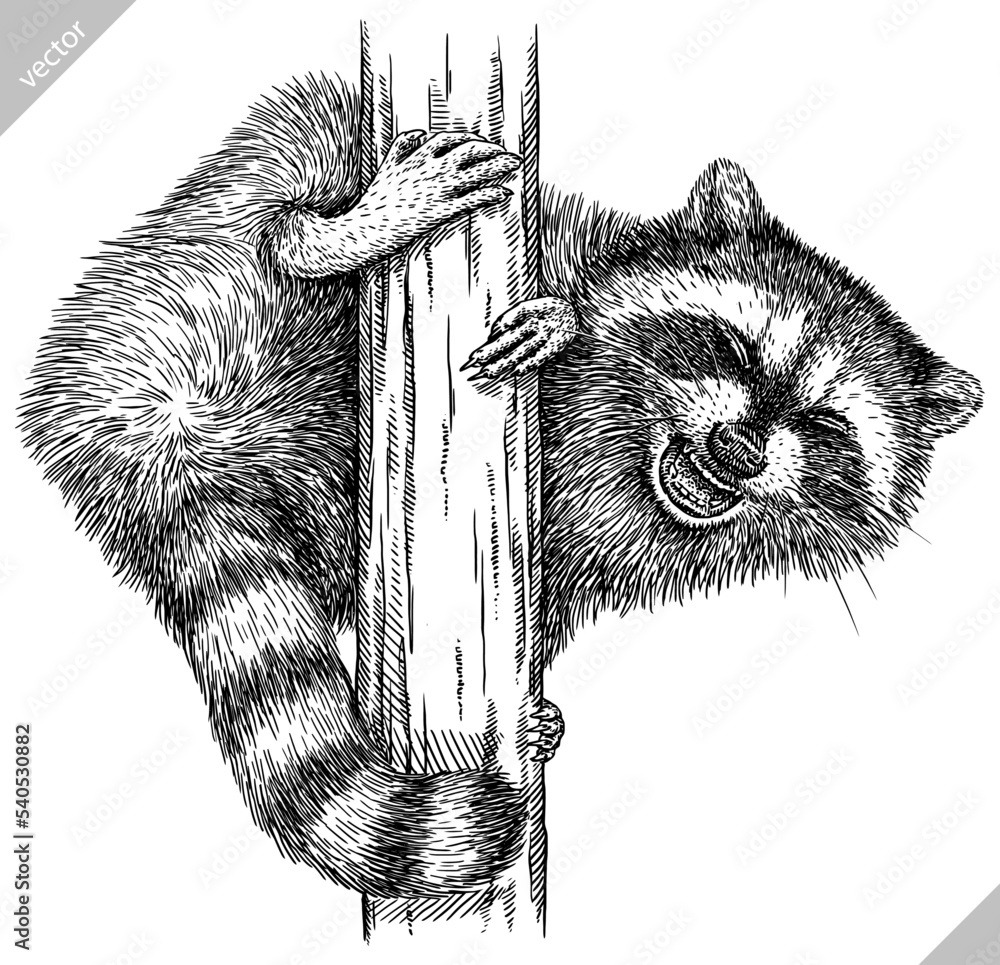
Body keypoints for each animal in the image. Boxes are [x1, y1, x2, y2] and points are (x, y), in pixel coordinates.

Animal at [18, 74, 982, 899]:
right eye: (734, 348)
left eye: (824, 424)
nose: (740, 448)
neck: (636, 467)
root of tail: (137, 424)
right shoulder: (558, 240)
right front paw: (564, 322)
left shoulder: (599, 547)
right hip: (199, 284)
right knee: (281, 195)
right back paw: (327, 237)